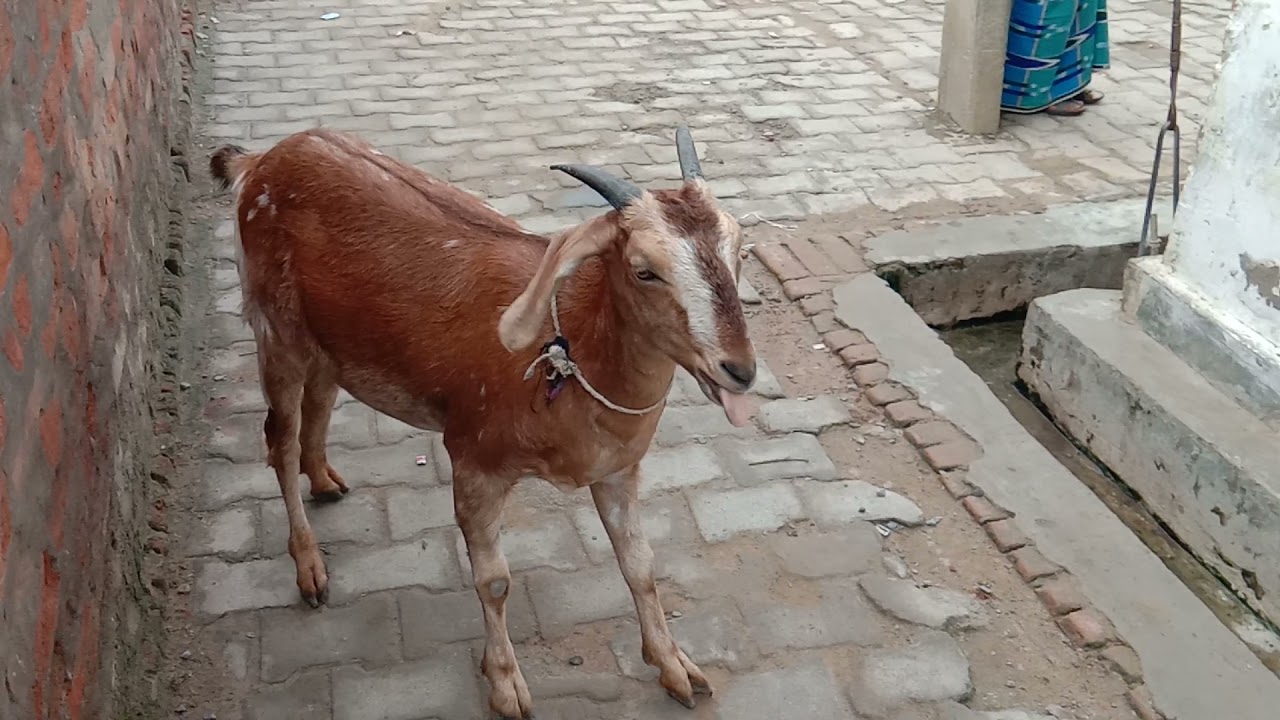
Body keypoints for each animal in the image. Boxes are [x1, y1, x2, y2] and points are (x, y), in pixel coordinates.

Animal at [209, 126, 757, 718]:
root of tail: (258, 161)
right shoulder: (473, 455)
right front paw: (506, 686)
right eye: (644, 269)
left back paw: (325, 479)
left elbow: (640, 563)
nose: (740, 370)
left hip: (330, 341)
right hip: (274, 328)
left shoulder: (618, 469)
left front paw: (676, 667)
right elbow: (494, 581)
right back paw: (309, 568)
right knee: (278, 439)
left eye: (737, 247)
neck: (568, 353)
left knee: (322, 398)